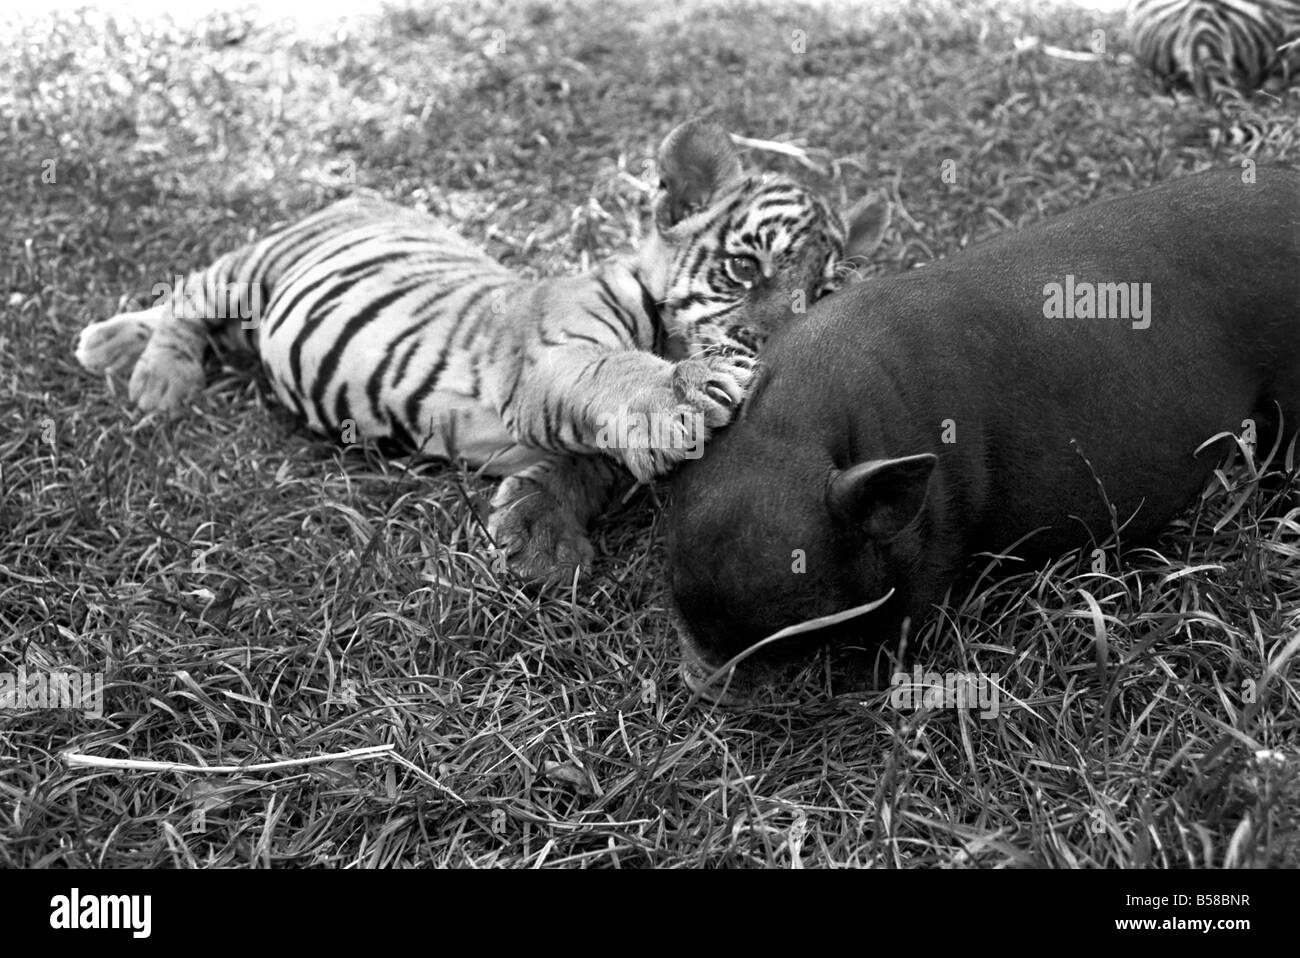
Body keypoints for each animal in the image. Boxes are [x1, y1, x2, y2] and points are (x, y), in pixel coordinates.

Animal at [75, 118, 890, 580]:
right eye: (746, 267)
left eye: (824, 291)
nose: (785, 343)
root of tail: (358, 193)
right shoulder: (551, 356)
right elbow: (617, 373)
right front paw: (682, 387)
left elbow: (577, 465)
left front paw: (536, 534)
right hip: (250, 271)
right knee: (186, 295)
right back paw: (149, 371)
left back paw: (116, 347)